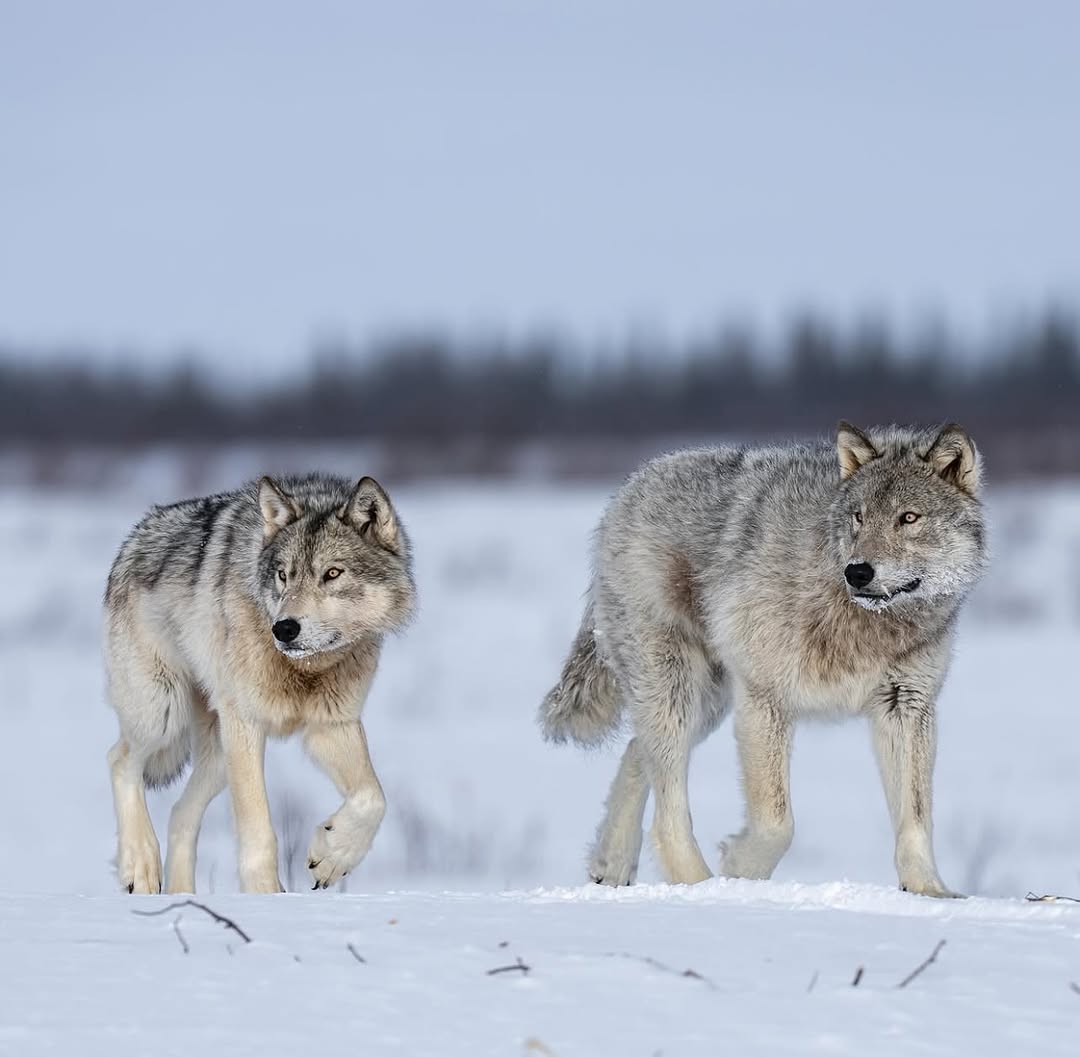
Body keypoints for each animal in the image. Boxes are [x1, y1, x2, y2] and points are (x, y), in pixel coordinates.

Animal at [104, 473, 415, 894]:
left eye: (332, 573)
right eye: (283, 575)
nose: (283, 629)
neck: (304, 669)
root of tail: (136, 534)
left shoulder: (331, 725)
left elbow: (373, 798)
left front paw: (333, 857)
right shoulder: (246, 724)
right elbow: (258, 831)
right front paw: (265, 896)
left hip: (217, 753)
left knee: (180, 813)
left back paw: (181, 894)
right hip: (163, 717)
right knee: (119, 760)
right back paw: (140, 865)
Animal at [540, 423, 986, 897]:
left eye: (909, 518)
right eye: (859, 517)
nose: (858, 572)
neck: (860, 619)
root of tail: (632, 483)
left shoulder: (905, 703)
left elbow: (916, 819)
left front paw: (929, 892)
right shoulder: (765, 699)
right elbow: (777, 822)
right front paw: (740, 871)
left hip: (707, 705)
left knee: (634, 751)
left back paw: (612, 863)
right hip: (677, 690)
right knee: (666, 809)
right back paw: (701, 886)